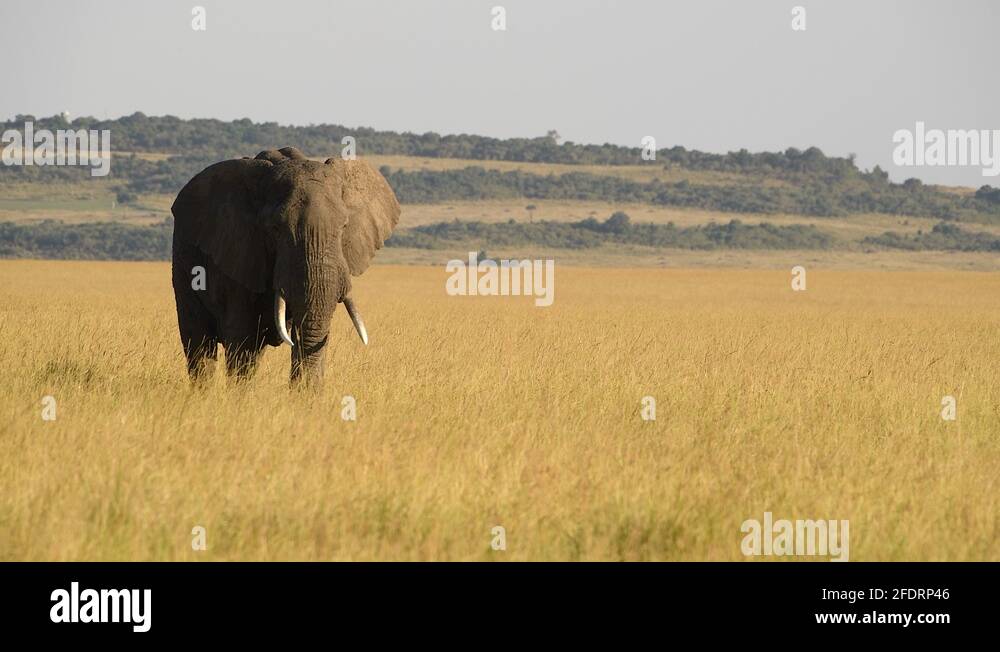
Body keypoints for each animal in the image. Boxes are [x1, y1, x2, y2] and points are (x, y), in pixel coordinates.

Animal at [170, 147, 400, 386]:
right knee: (199, 342)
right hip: (183, 260)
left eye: (344, 226)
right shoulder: (238, 250)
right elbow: (242, 338)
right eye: (275, 229)